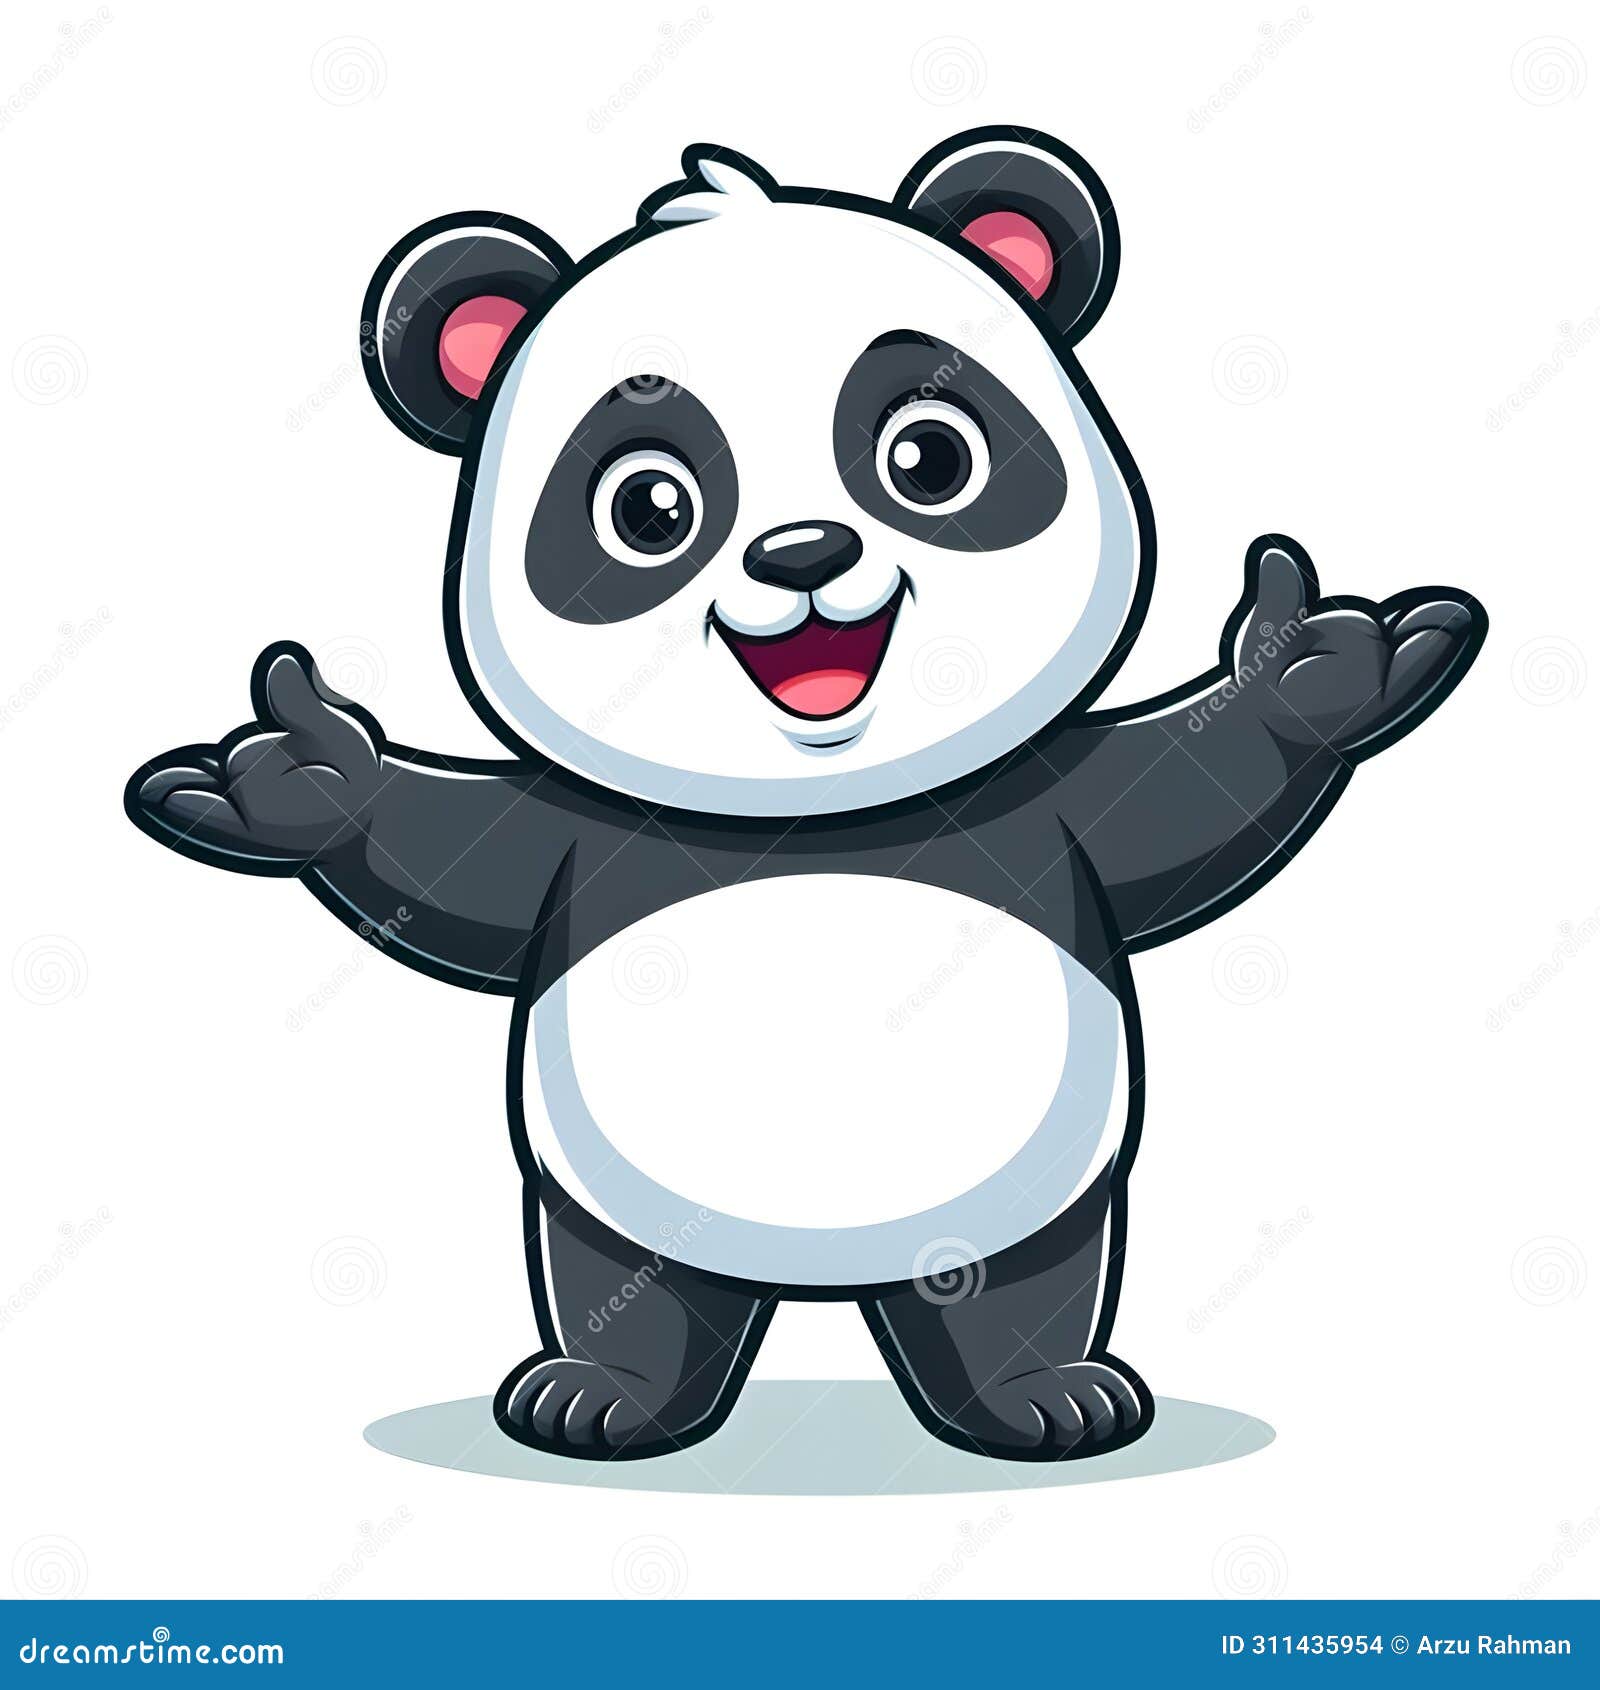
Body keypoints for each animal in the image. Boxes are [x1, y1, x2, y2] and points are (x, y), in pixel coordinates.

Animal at [127, 128, 1486, 1463]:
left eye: (929, 458)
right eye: (647, 507)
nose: (802, 553)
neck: (815, 812)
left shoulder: (1047, 805)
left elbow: (1197, 793)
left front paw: (1306, 671)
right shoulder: (585, 842)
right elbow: (443, 858)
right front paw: (305, 776)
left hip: (1024, 1201)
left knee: (1015, 1288)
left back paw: (1039, 1397)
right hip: (619, 1206)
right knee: (630, 1286)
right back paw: (603, 1398)